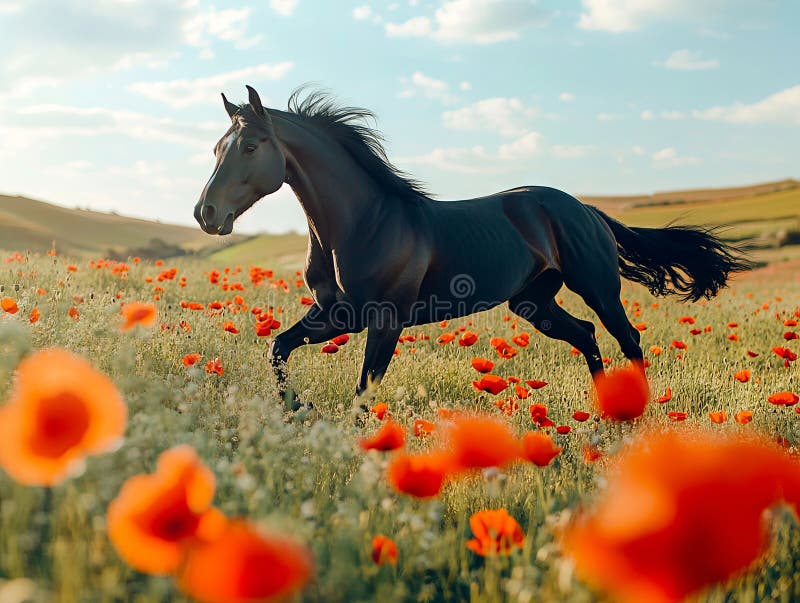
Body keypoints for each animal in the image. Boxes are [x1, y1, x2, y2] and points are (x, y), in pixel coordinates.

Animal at [194, 85, 752, 409]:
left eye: (250, 146)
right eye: (217, 148)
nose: (206, 213)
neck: (362, 224)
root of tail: (586, 209)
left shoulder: (383, 321)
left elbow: (362, 393)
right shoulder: (336, 316)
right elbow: (278, 347)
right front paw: (296, 407)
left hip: (596, 287)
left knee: (627, 338)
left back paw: (638, 420)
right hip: (534, 303)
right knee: (587, 335)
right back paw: (606, 414)